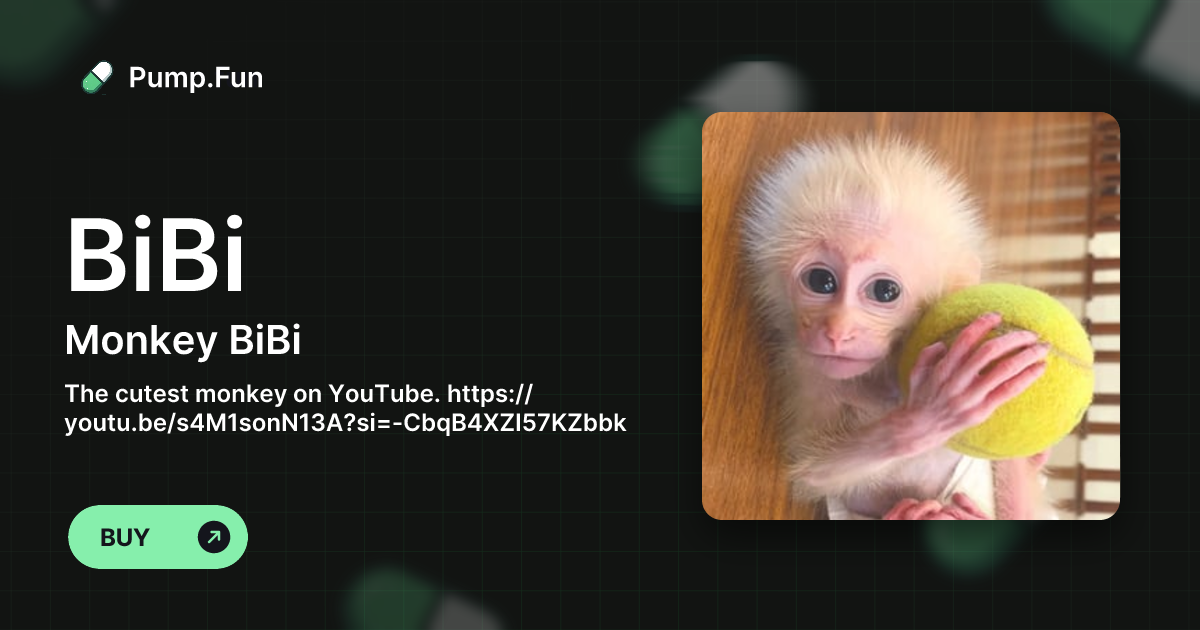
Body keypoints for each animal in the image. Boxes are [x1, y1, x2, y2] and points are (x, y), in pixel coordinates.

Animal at [741, 135, 1058, 520]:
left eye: (884, 291)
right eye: (821, 281)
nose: (838, 331)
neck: (887, 375)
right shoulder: (809, 373)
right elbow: (811, 474)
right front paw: (929, 416)